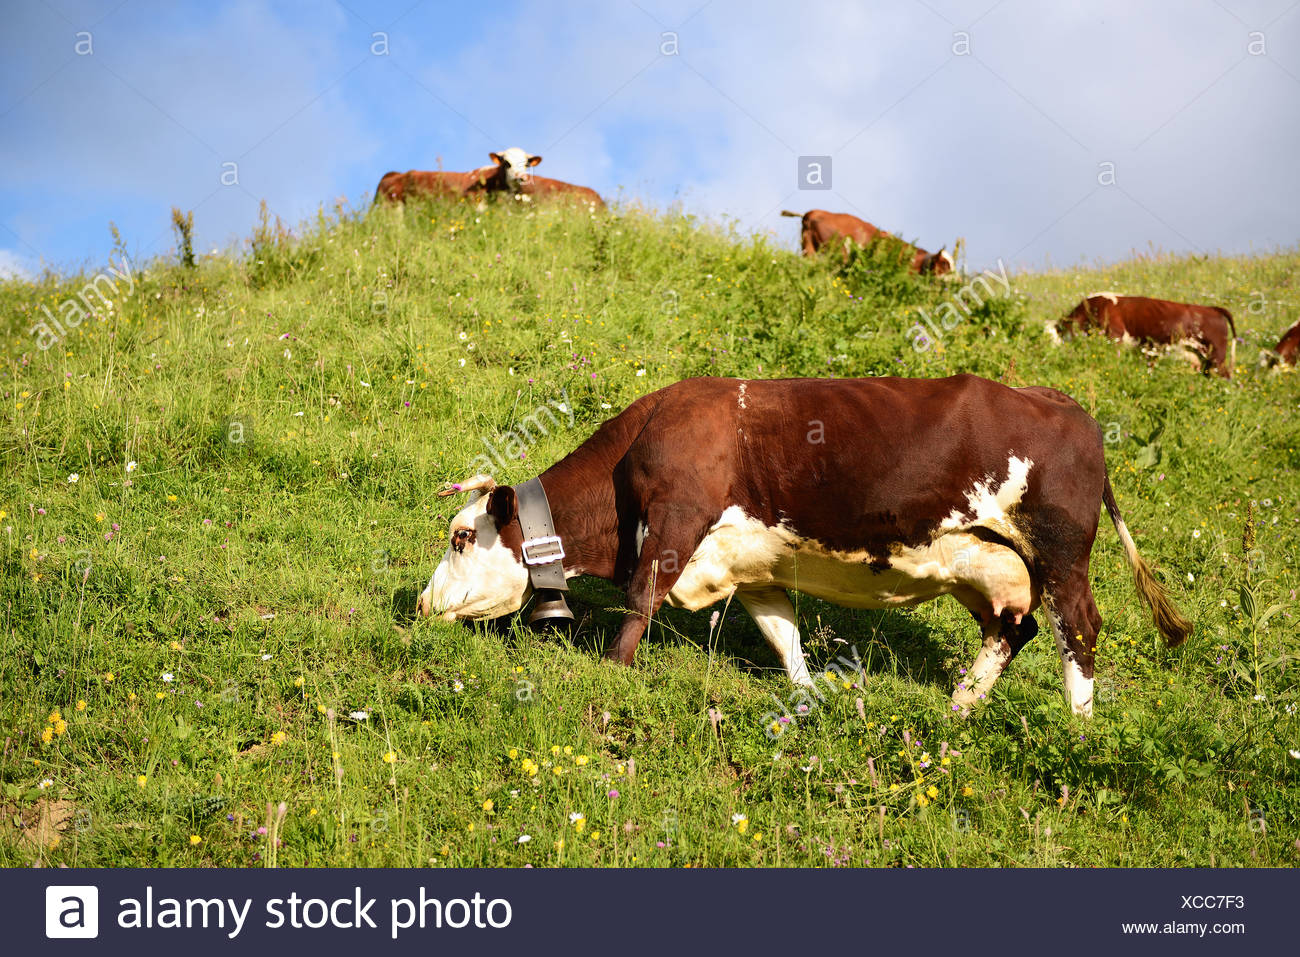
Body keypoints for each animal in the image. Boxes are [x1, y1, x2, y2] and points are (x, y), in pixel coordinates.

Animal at [417, 375, 1191, 718]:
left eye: (461, 536)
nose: (422, 602)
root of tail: (1067, 404)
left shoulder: (674, 521)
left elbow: (638, 601)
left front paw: (611, 675)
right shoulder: (751, 562)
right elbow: (782, 633)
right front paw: (809, 698)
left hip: (1060, 551)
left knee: (1078, 628)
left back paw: (1079, 727)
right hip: (987, 559)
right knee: (1014, 627)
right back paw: (961, 705)